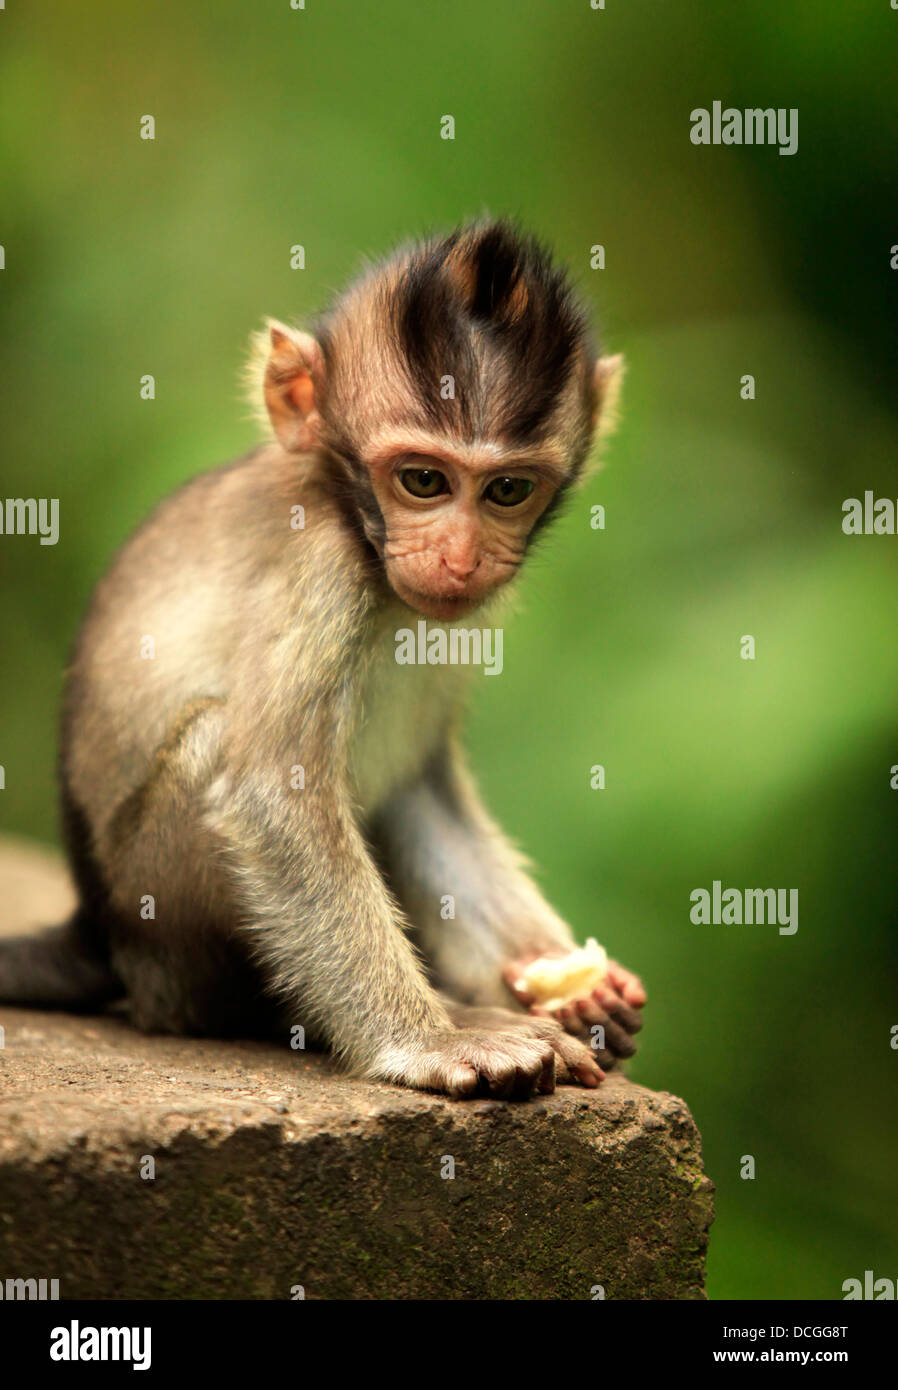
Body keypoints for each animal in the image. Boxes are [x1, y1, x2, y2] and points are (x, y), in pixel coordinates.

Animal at [0, 220, 645, 1100]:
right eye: (422, 480)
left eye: (508, 491)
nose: (460, 559)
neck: (362, 535)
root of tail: (96, 928)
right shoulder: (320, 571)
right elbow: (275, 795)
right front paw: (433, 1041)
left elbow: (420, 788)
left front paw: (564, 978)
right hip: (154, 913)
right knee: (215, 756)